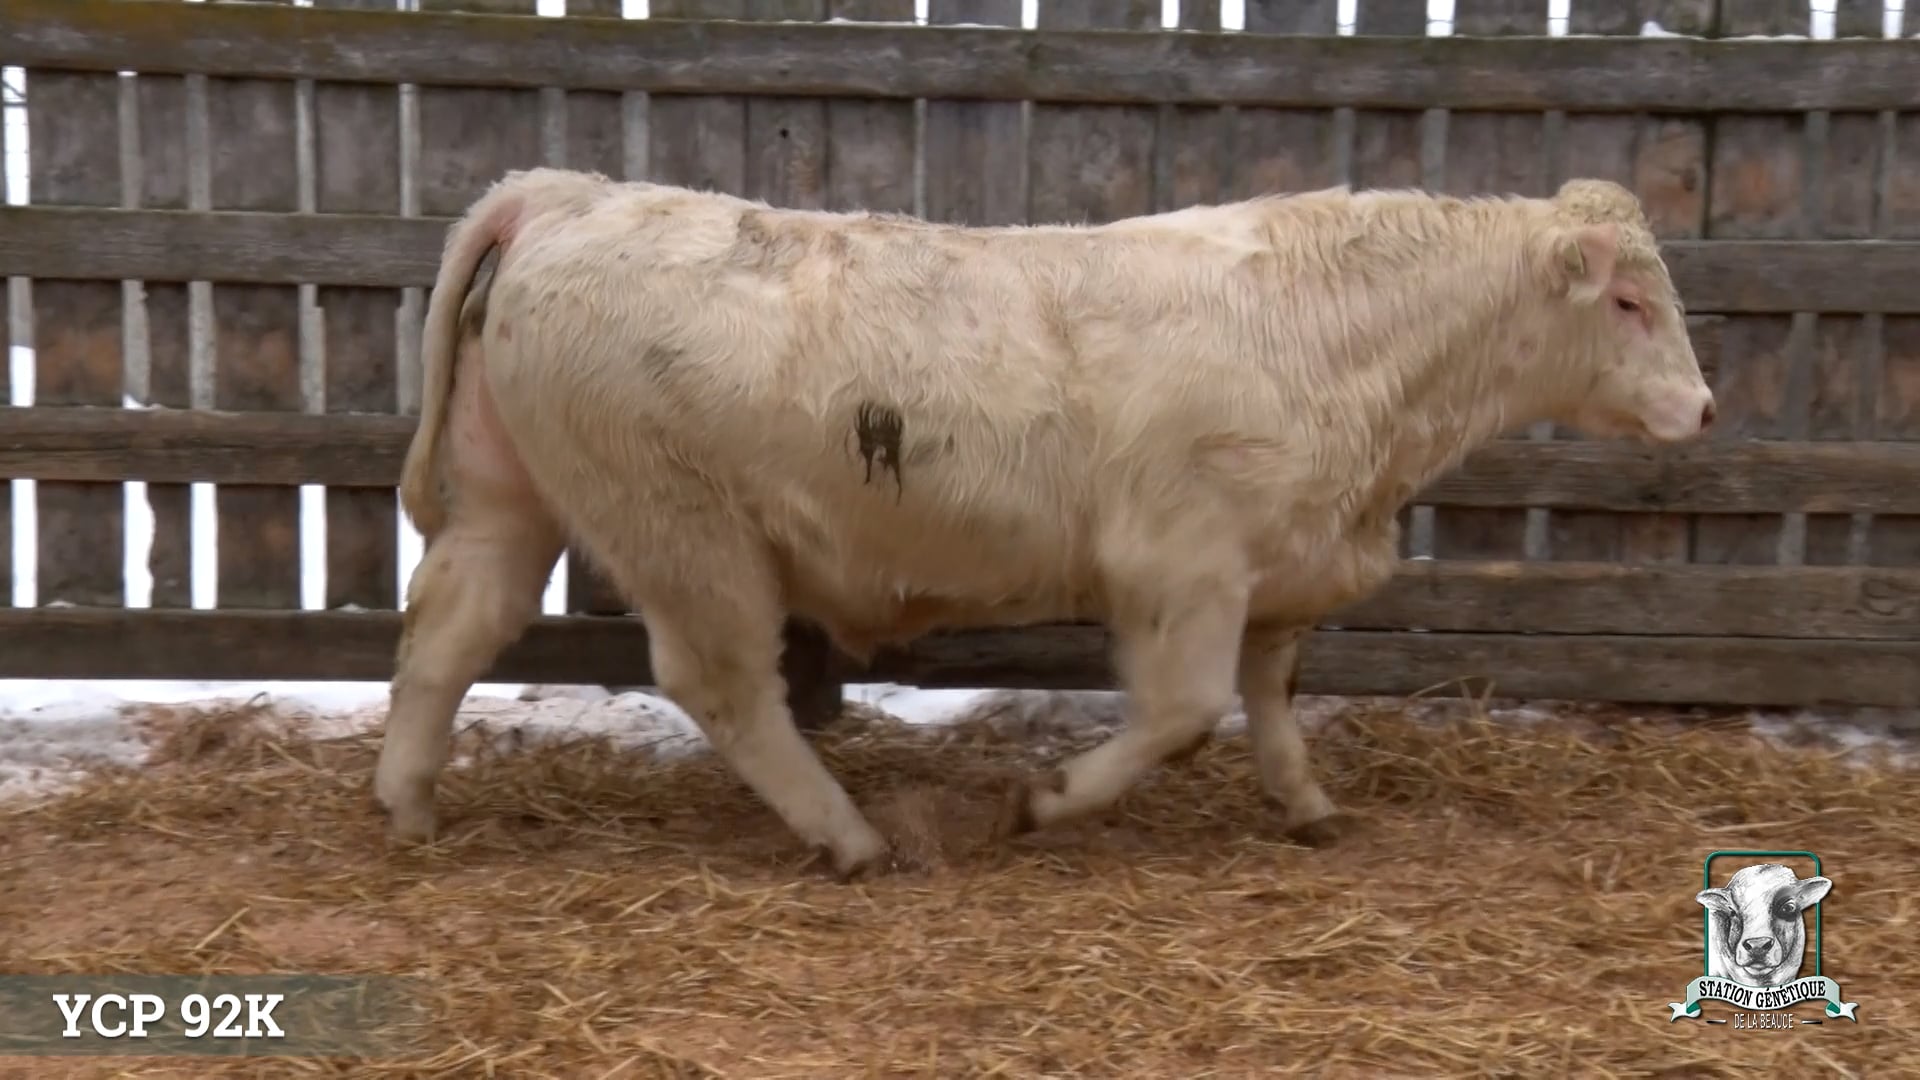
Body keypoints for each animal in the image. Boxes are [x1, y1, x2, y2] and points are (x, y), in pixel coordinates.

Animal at [376, 167, 1714, 880]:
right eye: (1631, 302)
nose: (1702, 407)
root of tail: (569, 194)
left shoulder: (1284, 565)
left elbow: (1274, 698)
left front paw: (1307, 806)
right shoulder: (1182, 566)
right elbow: (1182, 714)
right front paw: (1045, 804)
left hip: (512, 503)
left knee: (446, 633)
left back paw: (411, 805)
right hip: (686, 531)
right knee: (723, 685)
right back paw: (851, 836)